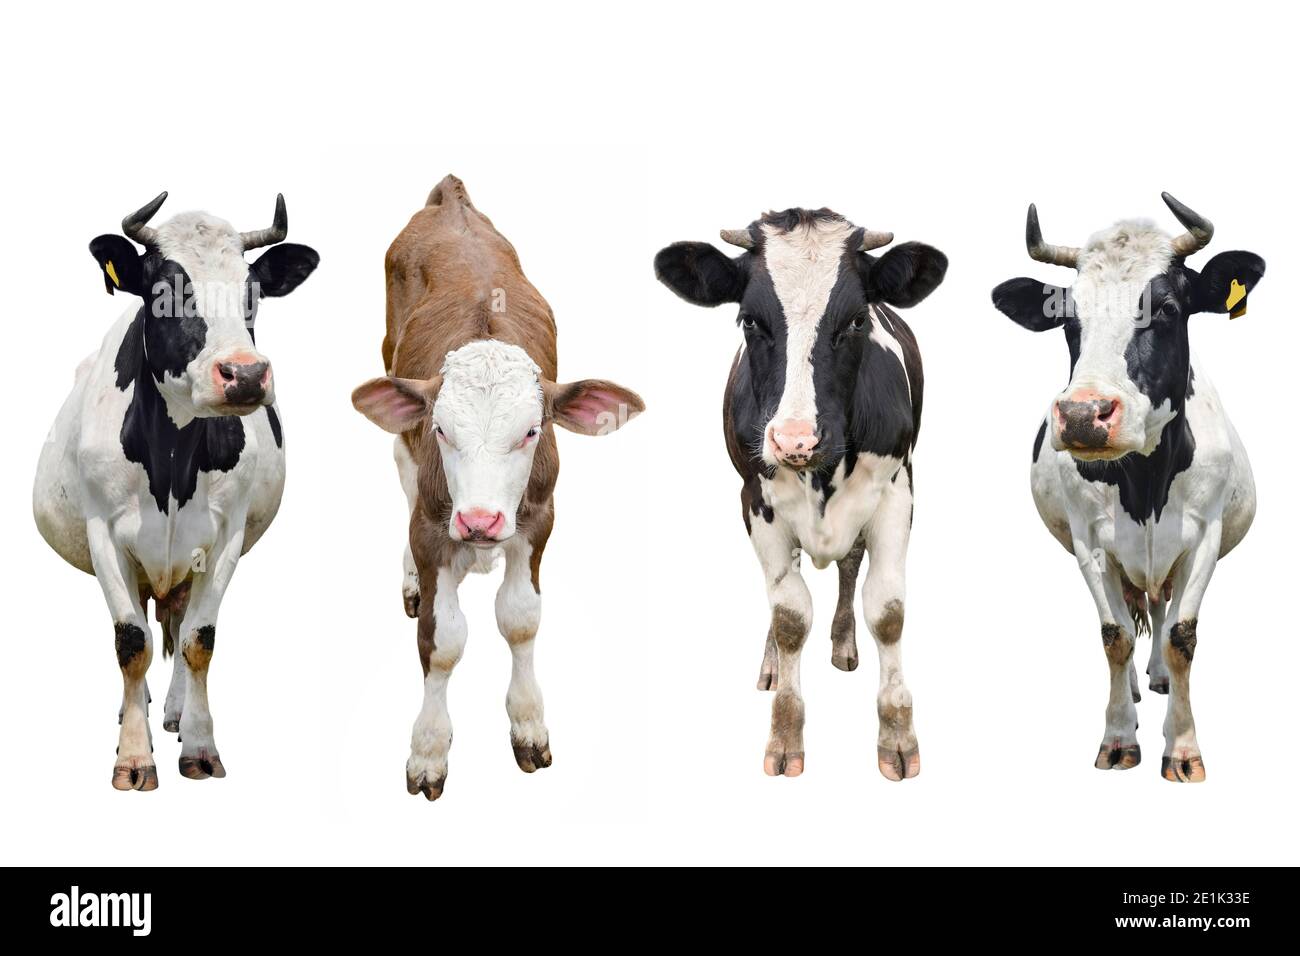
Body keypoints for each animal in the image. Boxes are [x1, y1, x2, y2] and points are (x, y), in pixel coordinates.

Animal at [33, 192, 319, 790]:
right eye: (166, 291)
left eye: (253, 293)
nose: (245, 375)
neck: (171, 461)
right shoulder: (104, 535)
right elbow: (131, 641)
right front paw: (133, 756)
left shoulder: (226, 535)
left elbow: (198, 639)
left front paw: (201, 745)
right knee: (143, 626)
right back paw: (136, 710)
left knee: (179, 620)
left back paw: (174, 713)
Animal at [351, 175, 644, 801]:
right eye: (441, 429)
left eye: (532, 431)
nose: (480, 521)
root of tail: (451, 197)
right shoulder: (432, 525)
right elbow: (442, 643)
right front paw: (428, 749)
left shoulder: (540, 518)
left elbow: (520, 617)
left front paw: (529, 723)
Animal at [654, 208, 948, 780]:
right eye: (750, 320)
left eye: (857, 320)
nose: (795, 440)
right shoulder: (755, 501)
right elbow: (789, 615)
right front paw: (785, 734)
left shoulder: (898, 492)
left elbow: (887, 612)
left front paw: (898, 737)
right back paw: (772, 663)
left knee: (849, 566)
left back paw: (843, 641)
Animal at [992, 193, 1263, 782]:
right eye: (1068, 319)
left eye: (1165, 309)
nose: (1082, 415)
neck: (1145, 486)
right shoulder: (1090, 542)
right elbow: (1113, 636)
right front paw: (1119, 738)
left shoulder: (1204, 538)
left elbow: (1182, 636)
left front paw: (1181, 747)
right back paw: (1138, 689)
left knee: (1160, 610)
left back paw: (1158, 676)